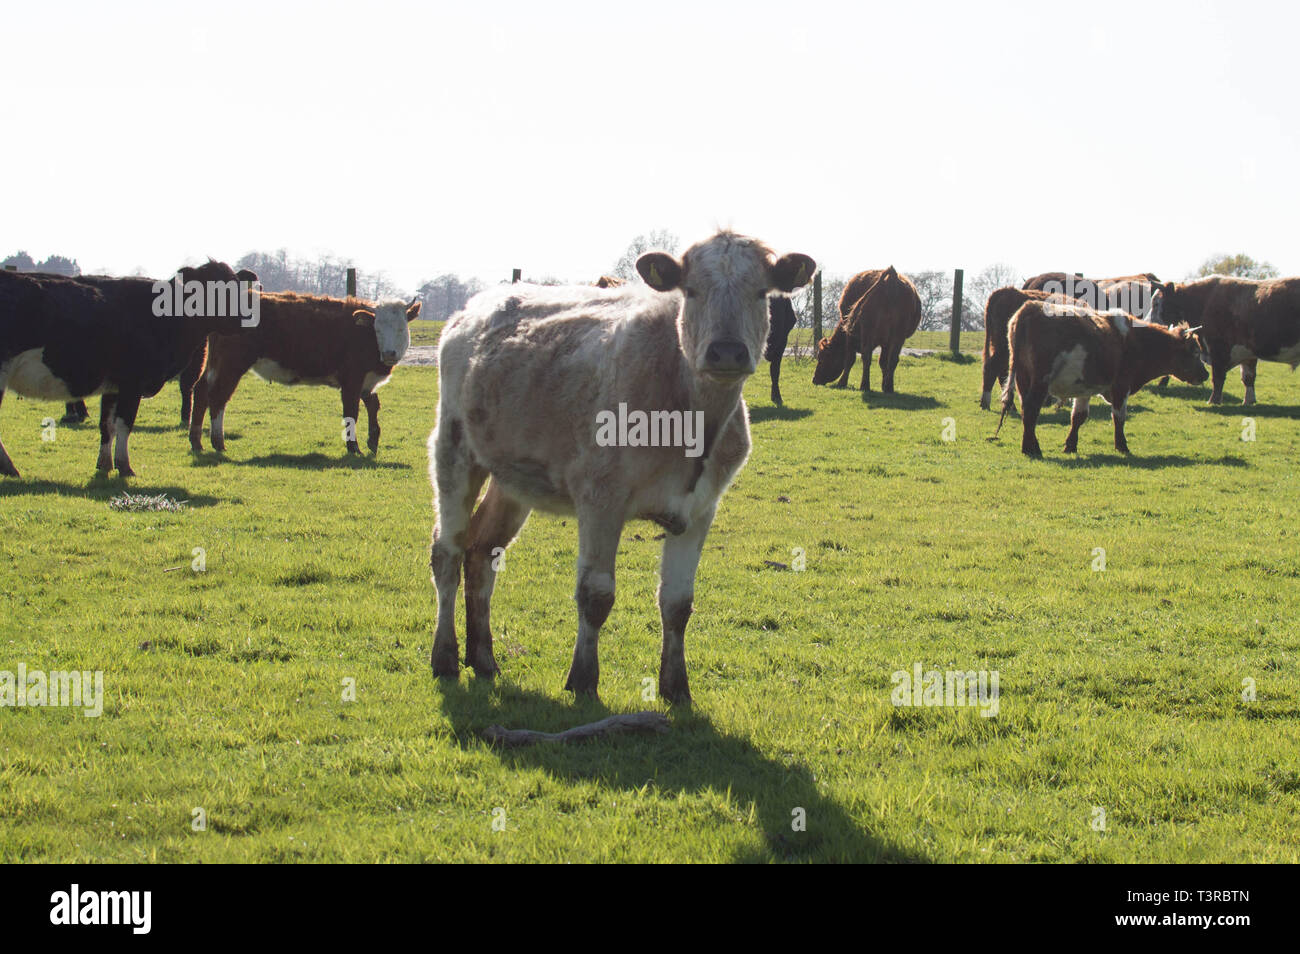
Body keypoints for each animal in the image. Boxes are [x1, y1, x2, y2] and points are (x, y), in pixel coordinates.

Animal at [0, 261, 256, 477]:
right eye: (212, 289)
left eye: (236, 286)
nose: (244, 318)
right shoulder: (132, 384)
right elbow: (125, 424)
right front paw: (124, 466)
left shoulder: (113, 387)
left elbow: (107, 426)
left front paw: (104, 464)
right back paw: (10, 468)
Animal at [188, 292, 421, 455]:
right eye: (377, 328)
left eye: (401, 329)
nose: (389, 353)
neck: (364, 336)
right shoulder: (352, 380)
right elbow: (351, 412)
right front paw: (354, 448)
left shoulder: (366, 382)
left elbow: (373, 407)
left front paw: (373, 441)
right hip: (232, 364)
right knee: (218, 397)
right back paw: (218, 443)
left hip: (215, 362)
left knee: (200, 391)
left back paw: (197, 441)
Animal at [428, 230, 815, 704]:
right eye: (691, 290)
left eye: (762, 292)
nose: (726, 351)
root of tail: (473, 307)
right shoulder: (600, 496)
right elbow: (595, 595)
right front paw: (583, 680)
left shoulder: (701, 509)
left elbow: (677, 604)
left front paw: (676, 688)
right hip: (453, 447)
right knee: (447, 550)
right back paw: (445, 657)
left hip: (513, 476)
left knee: (483, 550)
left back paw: (483, 657)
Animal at [997, 300, 1208, 457]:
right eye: (1196, 351)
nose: (1205, 374)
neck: (1137, 340)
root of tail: (1030, 307)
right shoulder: (1121, 385)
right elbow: (1119, 417)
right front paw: (1122, 446)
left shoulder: (1084, 387)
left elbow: (1078, 417)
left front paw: (1070, 446)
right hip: (1040, 380)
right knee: (1031, 410)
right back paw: (1030, 449)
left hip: (1023, 379)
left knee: (1026, 411)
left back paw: (1032, 445)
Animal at [1148, 275, 1300, 405]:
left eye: (1156, 303)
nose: (1148, 324)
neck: (1204, 301)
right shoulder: (1248, 353)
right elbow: (1248, 377)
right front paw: (1248, 401)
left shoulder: (1218, 349)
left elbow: (1218, 377)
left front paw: (1213, 401)